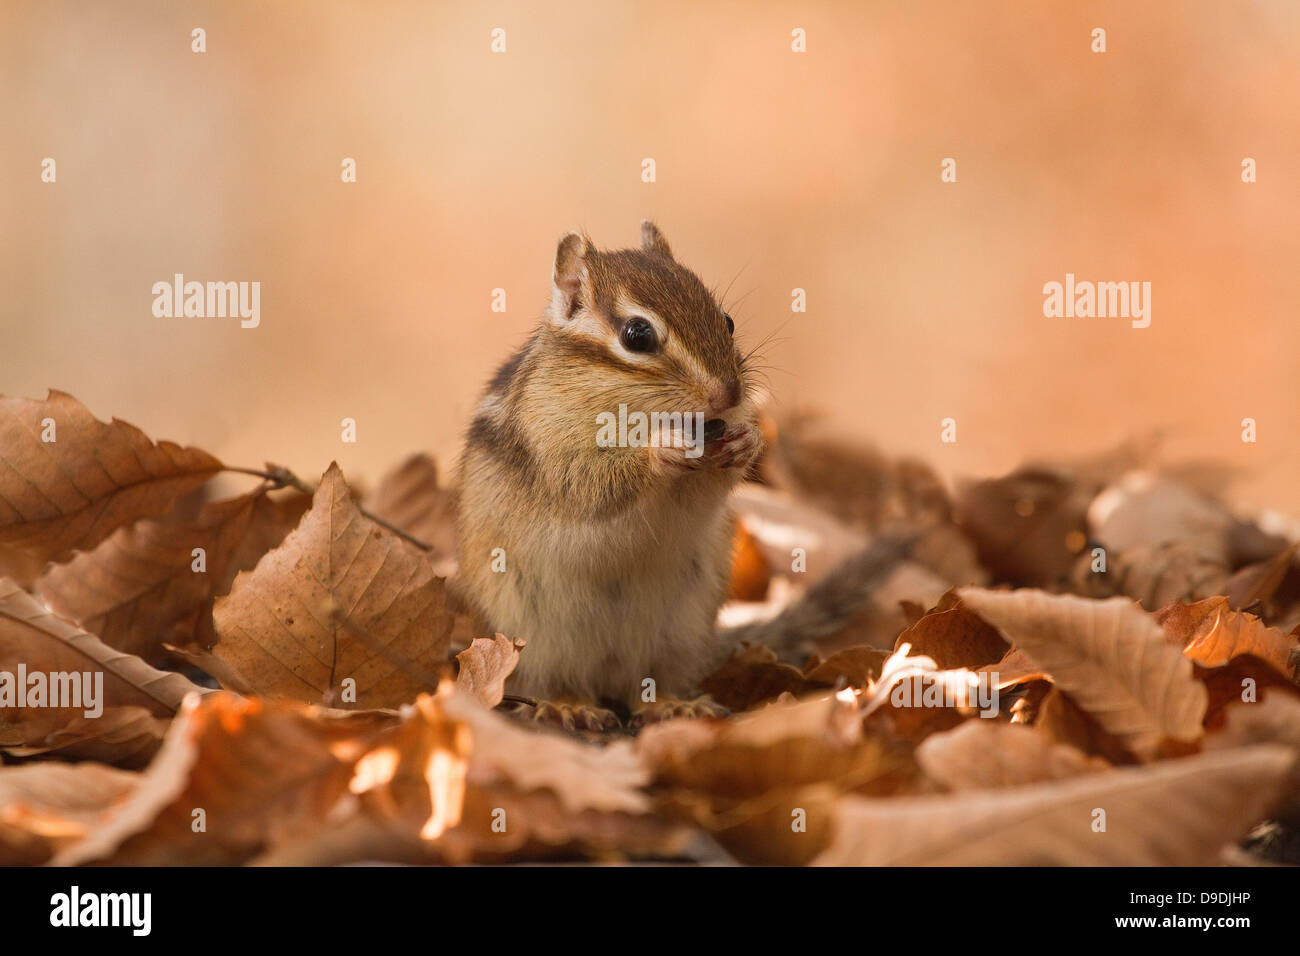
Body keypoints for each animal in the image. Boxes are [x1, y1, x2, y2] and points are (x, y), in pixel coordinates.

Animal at [454, 221, 911, 729]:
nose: (730, 393)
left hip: (679, 629)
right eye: (637, 335)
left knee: (645, 685)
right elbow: (588, 485)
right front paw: (660, 451)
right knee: (557, 680)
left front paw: (748, 440)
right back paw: (571, 704)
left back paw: (672, 704)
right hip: (536, 635)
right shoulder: (552, 447)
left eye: (726, 320)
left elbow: (708, 491)